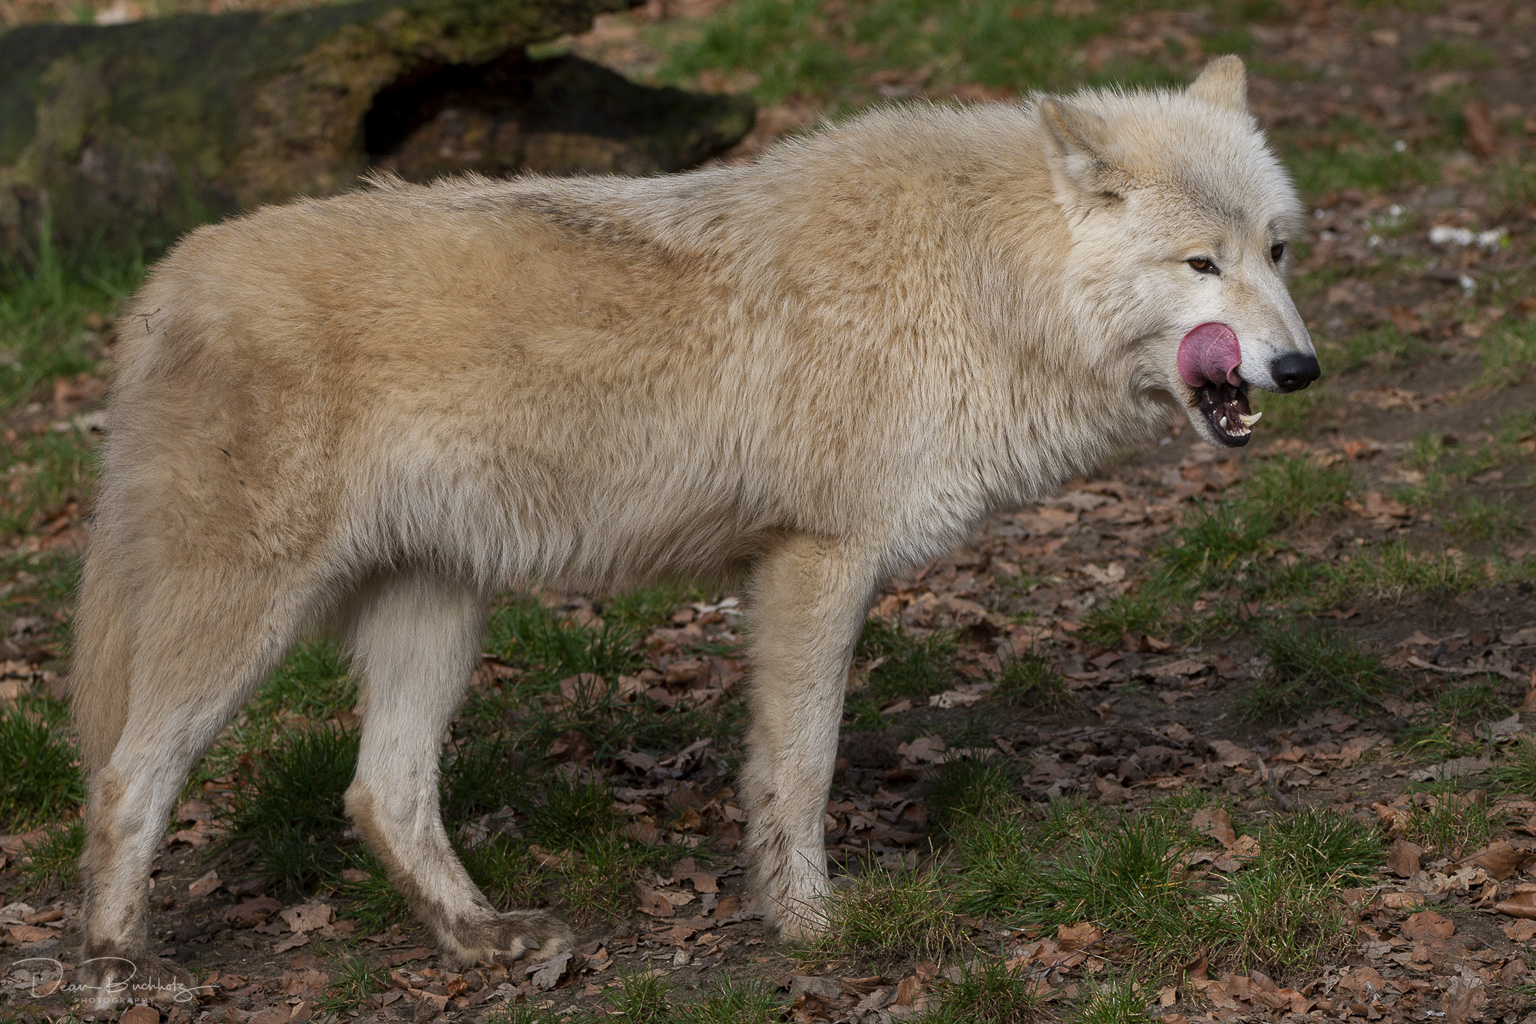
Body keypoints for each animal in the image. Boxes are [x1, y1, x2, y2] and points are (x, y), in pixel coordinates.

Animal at [71, 55, 1317, 1005]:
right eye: (1199, 263)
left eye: (1277, 250)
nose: (1299, 366)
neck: (978, 277)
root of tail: (159, 286)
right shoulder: (819, 560)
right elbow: (801, 766)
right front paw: (811, 924)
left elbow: (778, 767)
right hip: (245, 621)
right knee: (130, 774)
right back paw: (122, 960)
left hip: (438, 612)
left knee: (381, 795)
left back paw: (484, 940)